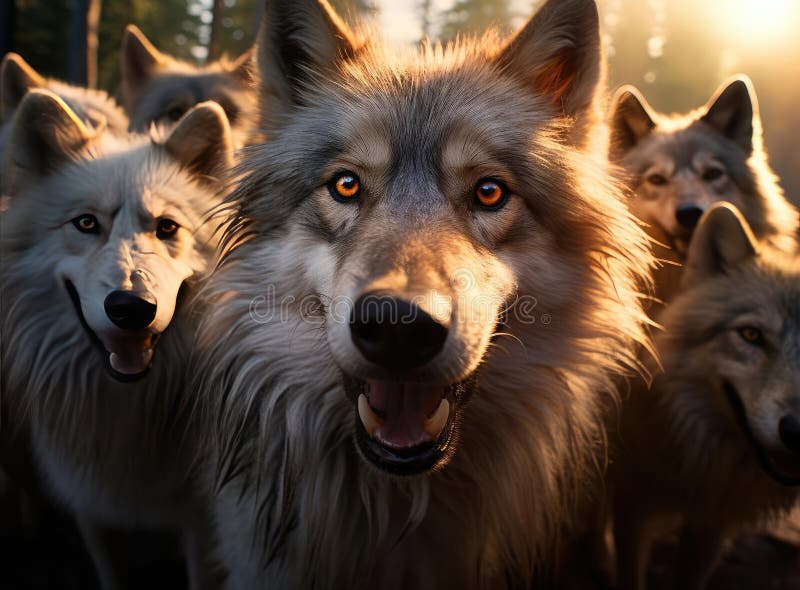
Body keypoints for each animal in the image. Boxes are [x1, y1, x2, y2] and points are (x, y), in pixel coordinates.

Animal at [0, 90, 233, 589]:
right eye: (86, 224)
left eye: (167, 227)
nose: (131, 308)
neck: (127, 412)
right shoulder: (88, 506)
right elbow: (109, 573)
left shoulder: (203, 524)